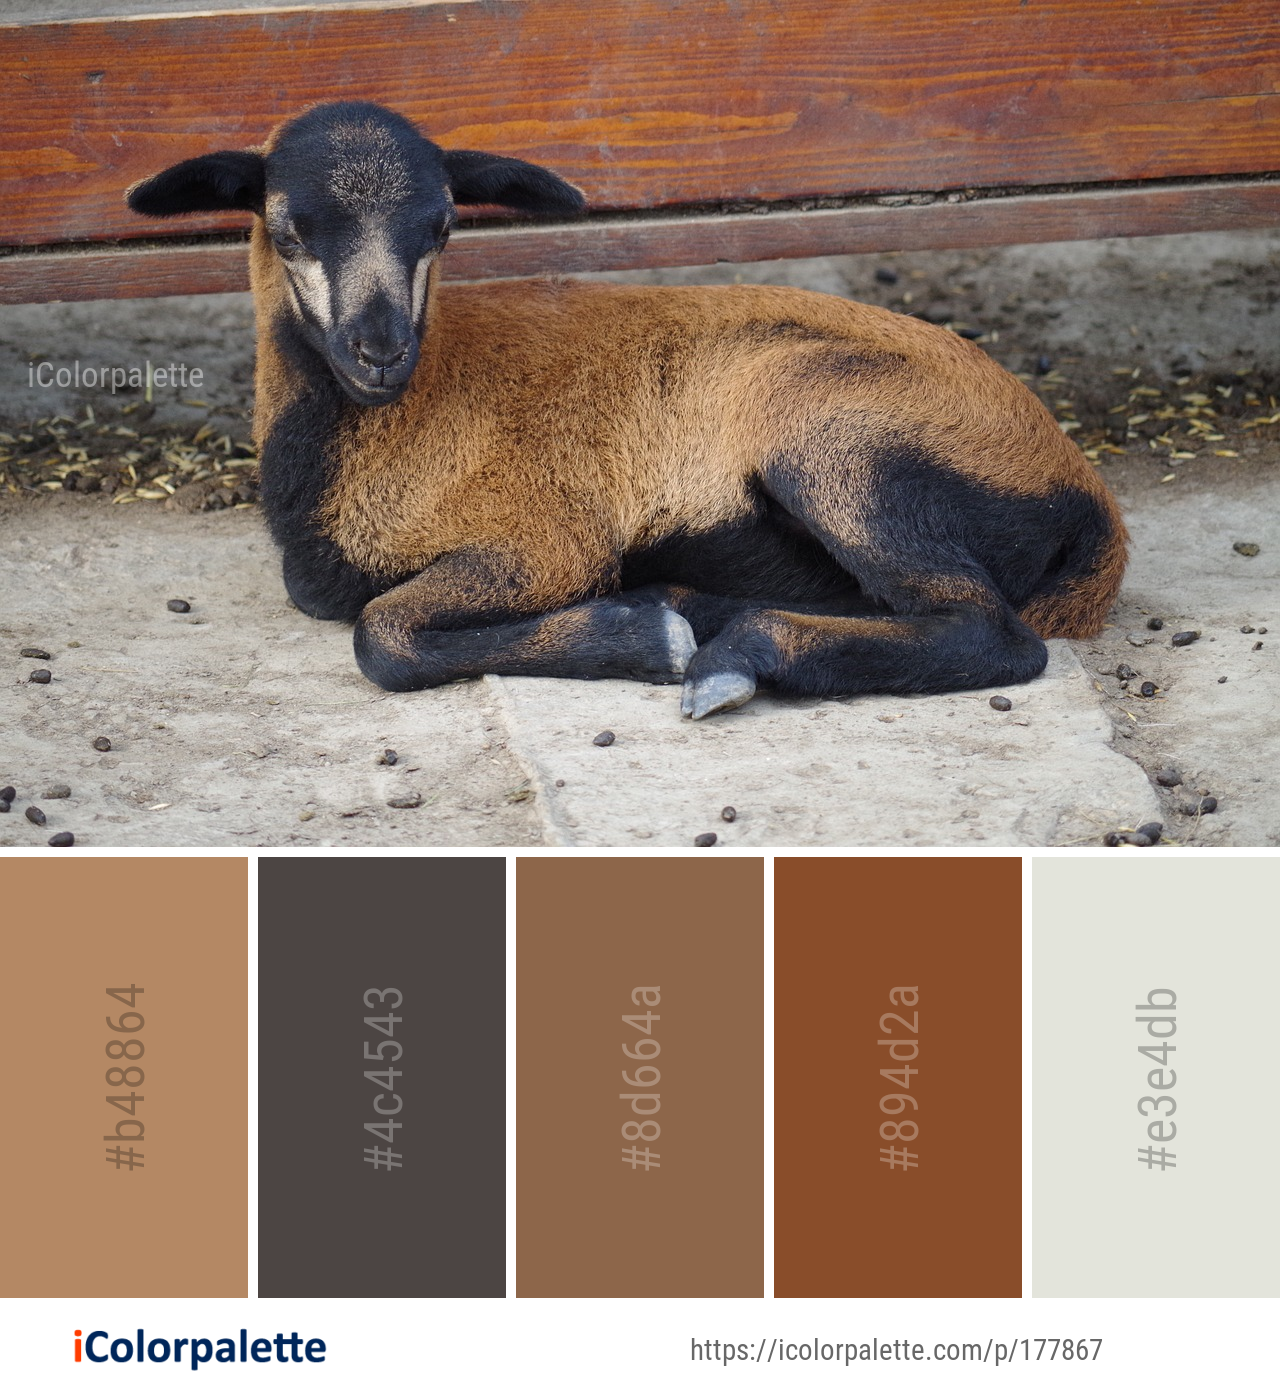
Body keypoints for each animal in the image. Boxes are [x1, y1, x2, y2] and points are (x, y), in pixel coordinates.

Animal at [127, 101, 1127, 719]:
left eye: (443, 227)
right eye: (289, 230)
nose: (380, 350)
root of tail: (1094, 513)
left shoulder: (546, 541)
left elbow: (384, 635)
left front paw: (640, 638)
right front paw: (650, 620)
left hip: (837, 437)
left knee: (991, 635)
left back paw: (729, 654)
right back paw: (695, 608)